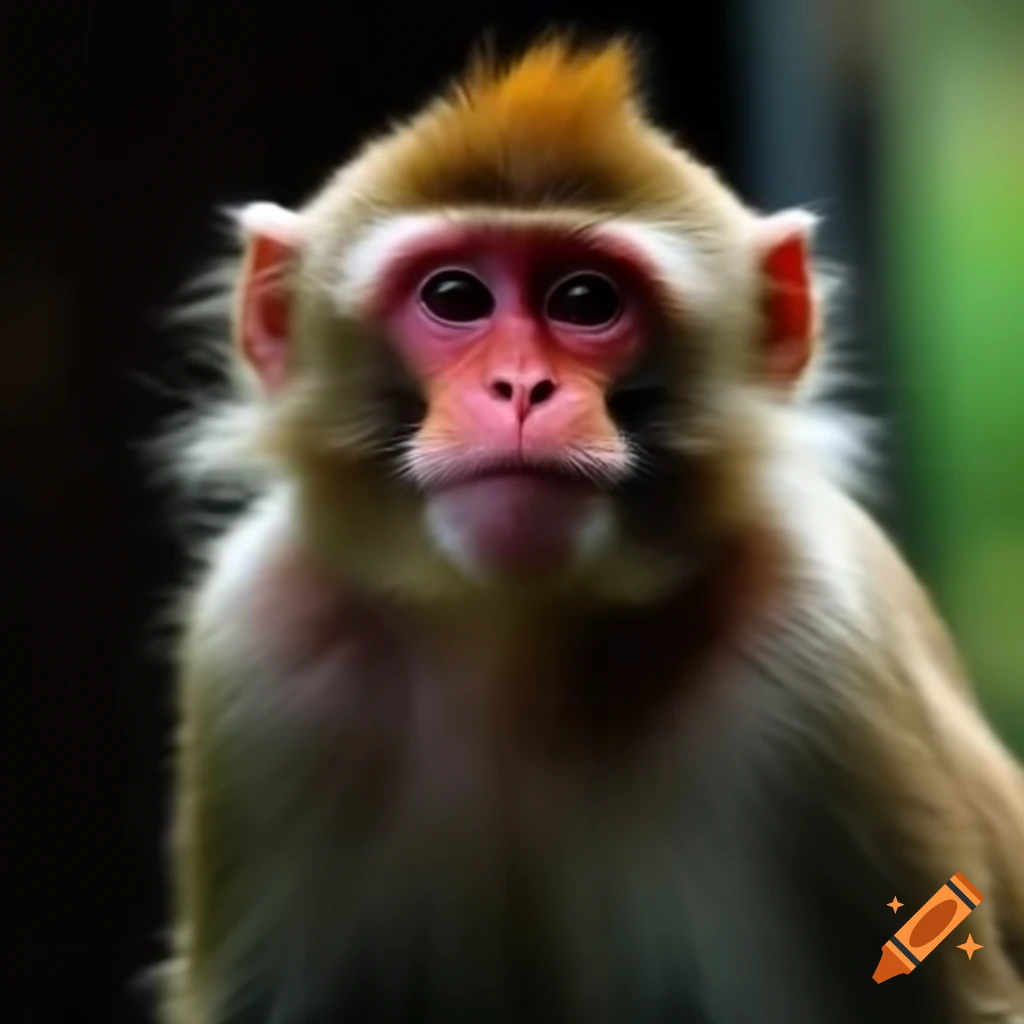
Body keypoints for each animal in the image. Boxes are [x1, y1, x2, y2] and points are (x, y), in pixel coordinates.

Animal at [157, 35, 1024, 1024]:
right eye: (455, 295)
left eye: (583, 300)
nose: (521, 388)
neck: (518, 645)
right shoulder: (258, 642)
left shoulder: (820, 650)